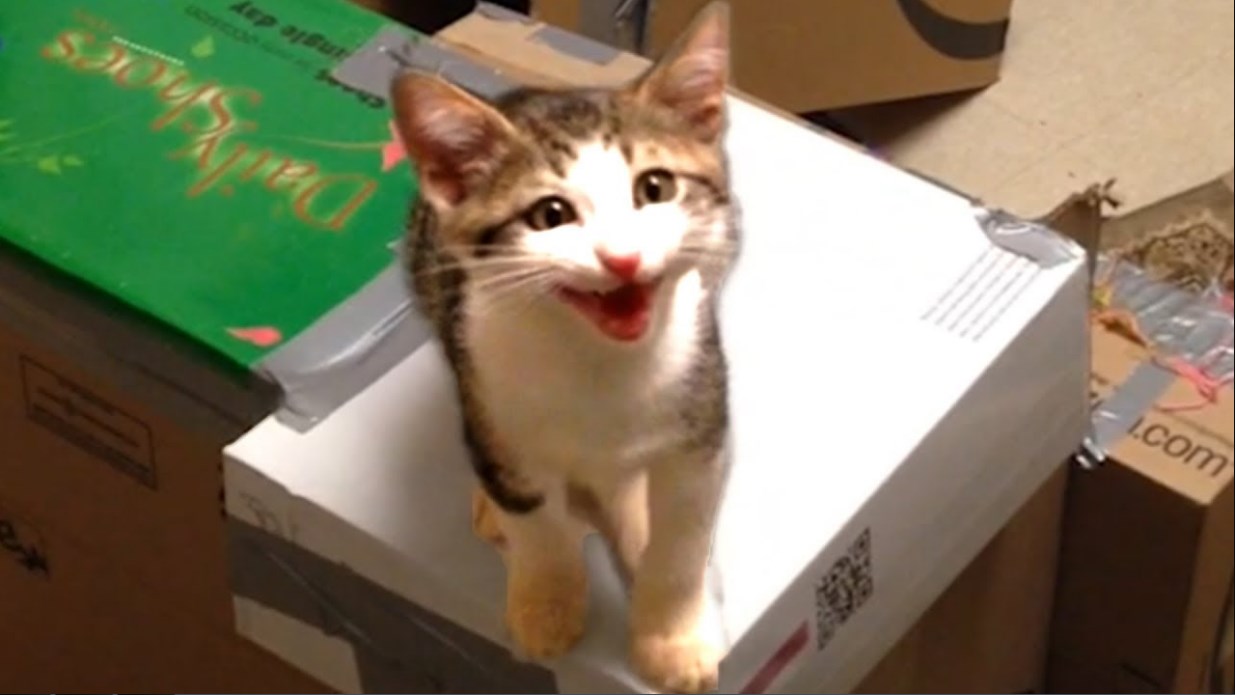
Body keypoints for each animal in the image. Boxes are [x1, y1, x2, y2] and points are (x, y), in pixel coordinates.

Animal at [390, 4, 737, 692]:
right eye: (550, 215)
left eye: (655, 187)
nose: (621, 258)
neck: (599, 362)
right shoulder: (494, 395)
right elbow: (537, 526)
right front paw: (547, 607)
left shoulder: (703, 417)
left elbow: (684, 535)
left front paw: (671, 638)